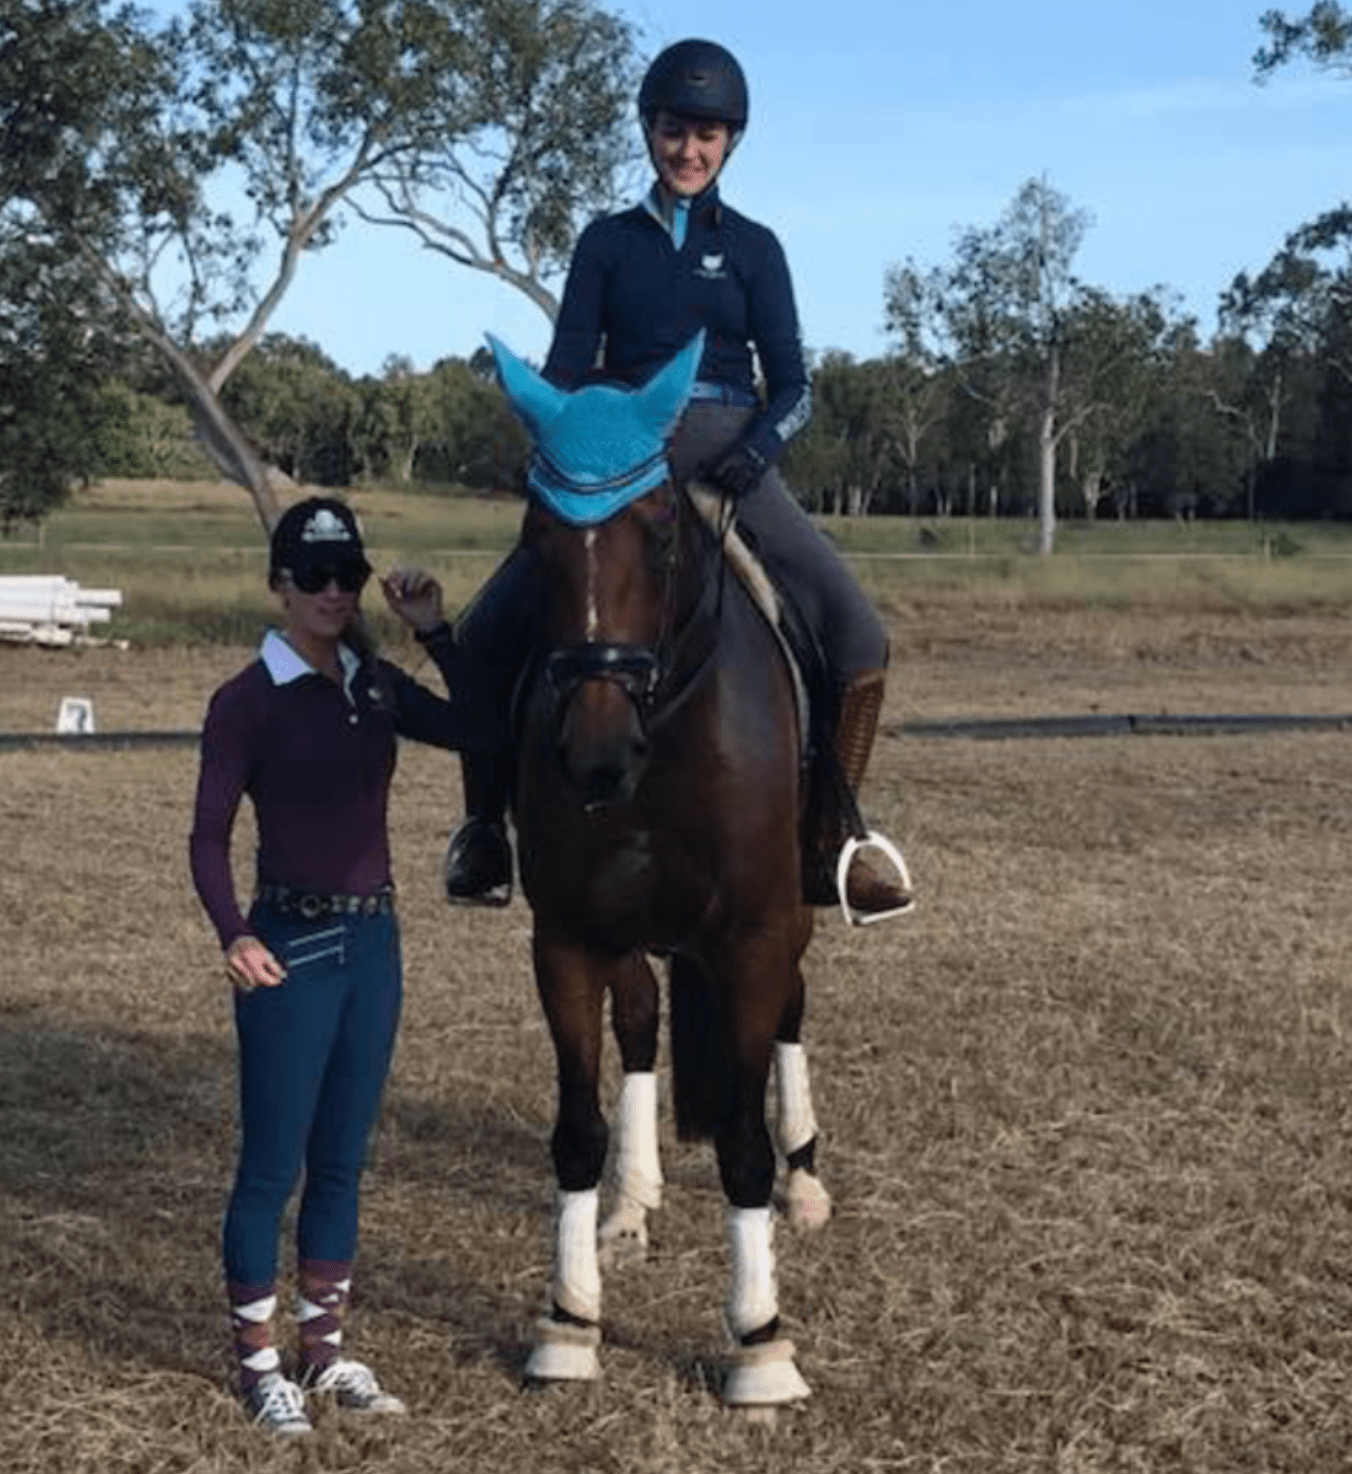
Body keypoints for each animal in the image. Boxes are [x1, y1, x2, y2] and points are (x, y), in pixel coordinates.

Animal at [488, 331, 828, 1407]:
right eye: (536, 540)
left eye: (663, 538)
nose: (596, 754)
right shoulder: (566, 936)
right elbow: (576, 1127)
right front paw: (567, 1321)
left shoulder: (755, 932)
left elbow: (743, 1142)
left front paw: (760, 1339)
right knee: (639, 1022)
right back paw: (631, 1204)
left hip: (793, 914)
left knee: (793, 1013)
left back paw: (808, 1180)